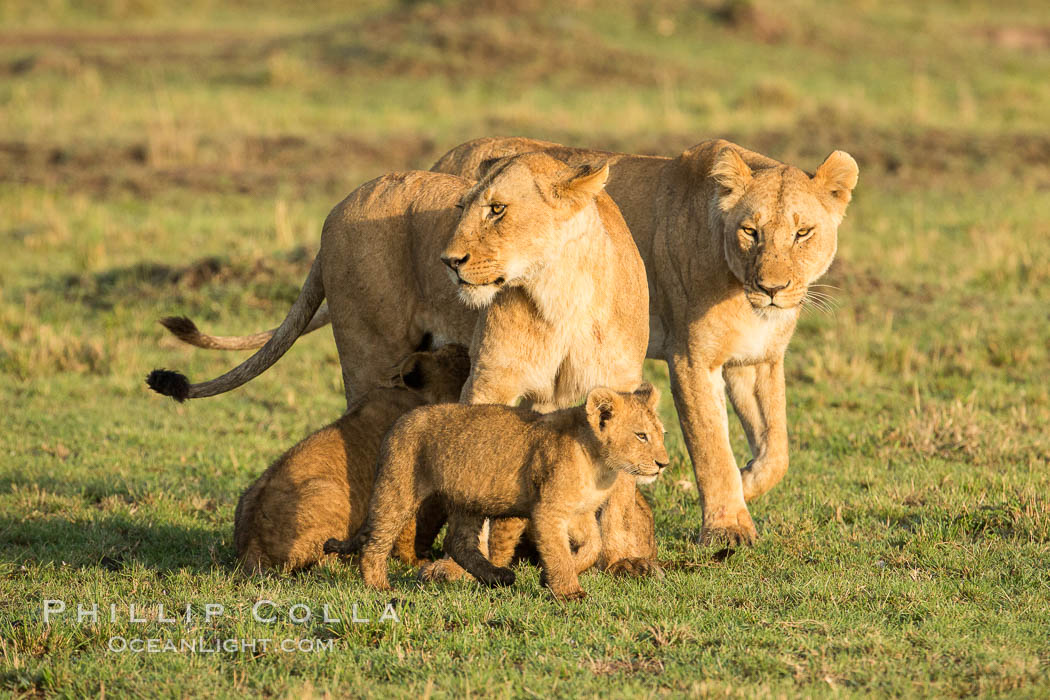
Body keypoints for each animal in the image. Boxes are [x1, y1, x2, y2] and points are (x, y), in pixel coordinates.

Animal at [234, 344, 470, 572]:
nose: (464, 348)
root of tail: (251, 547)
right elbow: (407, 529)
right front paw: (416, 561)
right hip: (331, 495)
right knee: (322, 563)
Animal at [324, 383, 668, 600]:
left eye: (662, 434)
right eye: (641, 436)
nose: (663, 463)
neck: (600, 464)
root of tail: (400, 421)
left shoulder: (579, 513)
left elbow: (594, 546)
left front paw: (549, 578)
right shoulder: (548, 511)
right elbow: (557, 552)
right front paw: (569, 592)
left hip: (469, 499)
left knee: (458, 543)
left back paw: (497, 577)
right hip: (399, 487)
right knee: (376, 539)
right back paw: (379, 587)